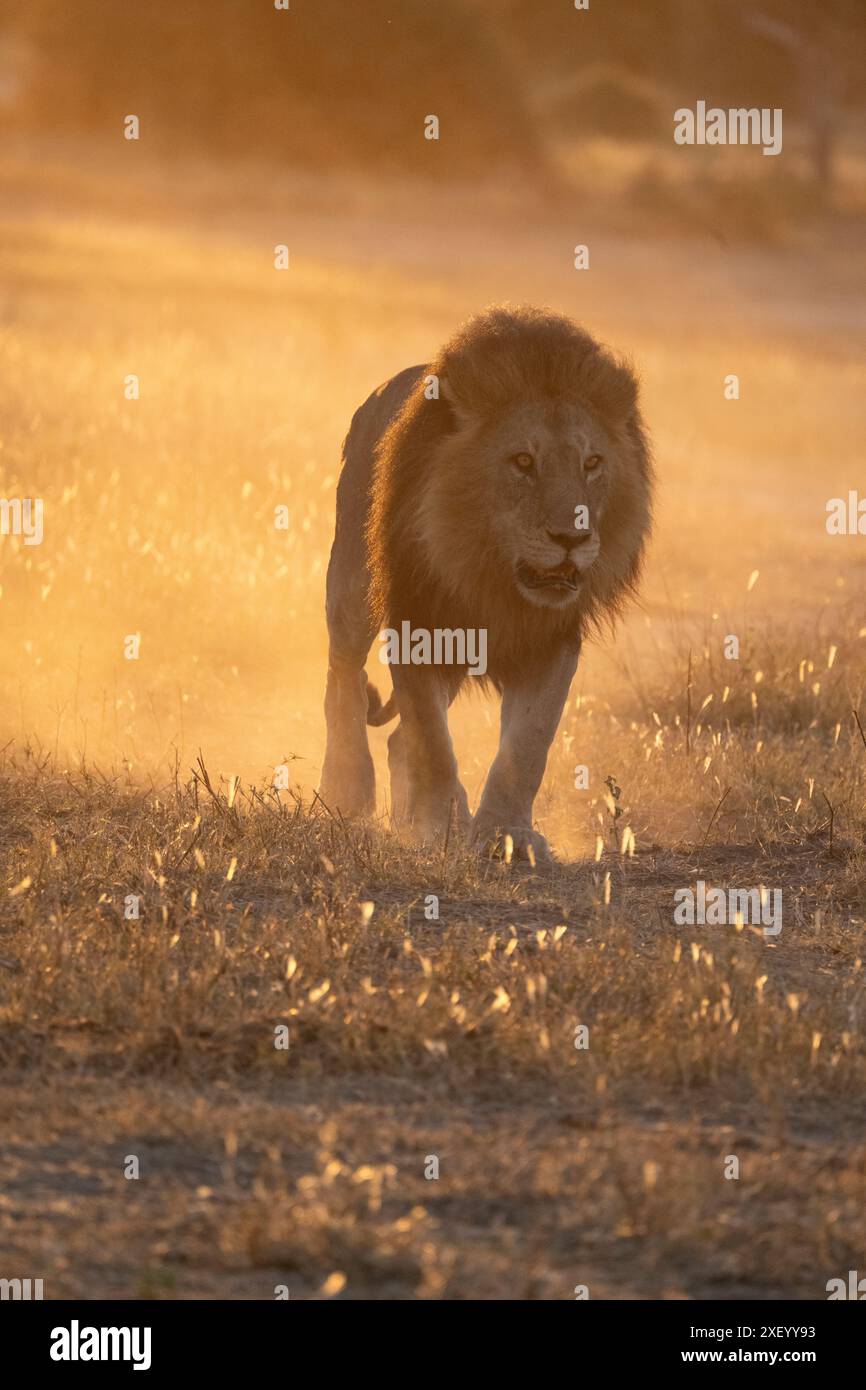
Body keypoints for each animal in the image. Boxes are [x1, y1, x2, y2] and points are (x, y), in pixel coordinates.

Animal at [319, 305, 654, 861]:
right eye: (522, 461)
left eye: (592, 463)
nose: (572, 537)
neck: (494, 579)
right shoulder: (416, 620)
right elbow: (432, 742)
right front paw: (441, 827)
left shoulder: (553, 640)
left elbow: (527, 748)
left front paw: (504, 835)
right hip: (352, 588)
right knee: (343, 682)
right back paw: (346, 793)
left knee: (396, 738)